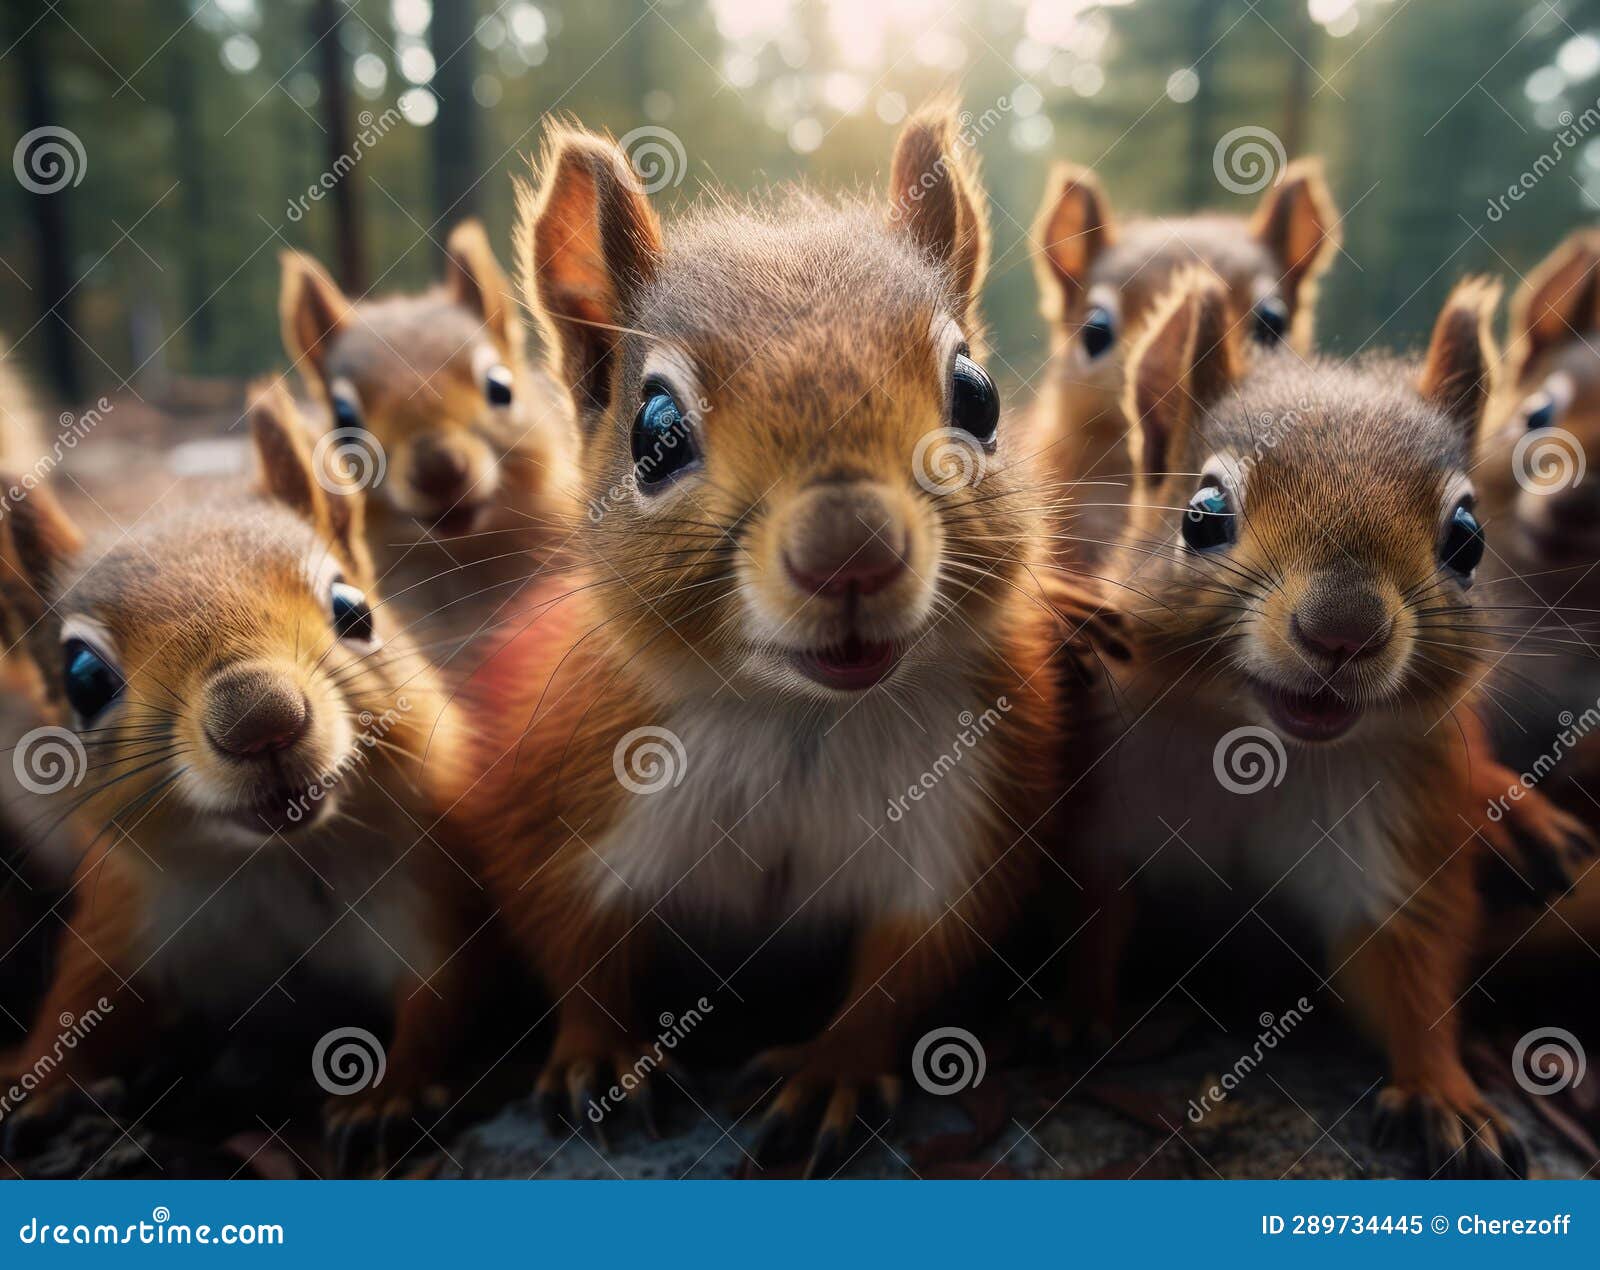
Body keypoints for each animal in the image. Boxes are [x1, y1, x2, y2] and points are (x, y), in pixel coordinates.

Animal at [0, 384, 486, 1175]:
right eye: (83, 678)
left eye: (354, 611)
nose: (261, 720)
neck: (275, 865)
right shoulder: (123, 920)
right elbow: (76, 1006)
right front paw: (42, 1090)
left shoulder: (429, 887)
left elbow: (444, 991)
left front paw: (392, 1095)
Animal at [439, 105, 1118, 1177]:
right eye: (655, 432)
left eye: (978, 397)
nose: (851, 553)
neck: (797, 718)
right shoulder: (565, 798)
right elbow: (573, 939)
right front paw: (600, 1057)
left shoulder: (963, 814)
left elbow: (911, 961)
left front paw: (833, 1069)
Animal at [1076, 269, 1591, 1178]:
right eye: (1201, 515)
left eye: (1467, 539)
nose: (1342, 632)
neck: (1256, 744)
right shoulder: (1111, 796)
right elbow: (1101, 906)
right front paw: (1081, 1012)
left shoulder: (1389, 834)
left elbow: (1405, 963)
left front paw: (1443, 1091)